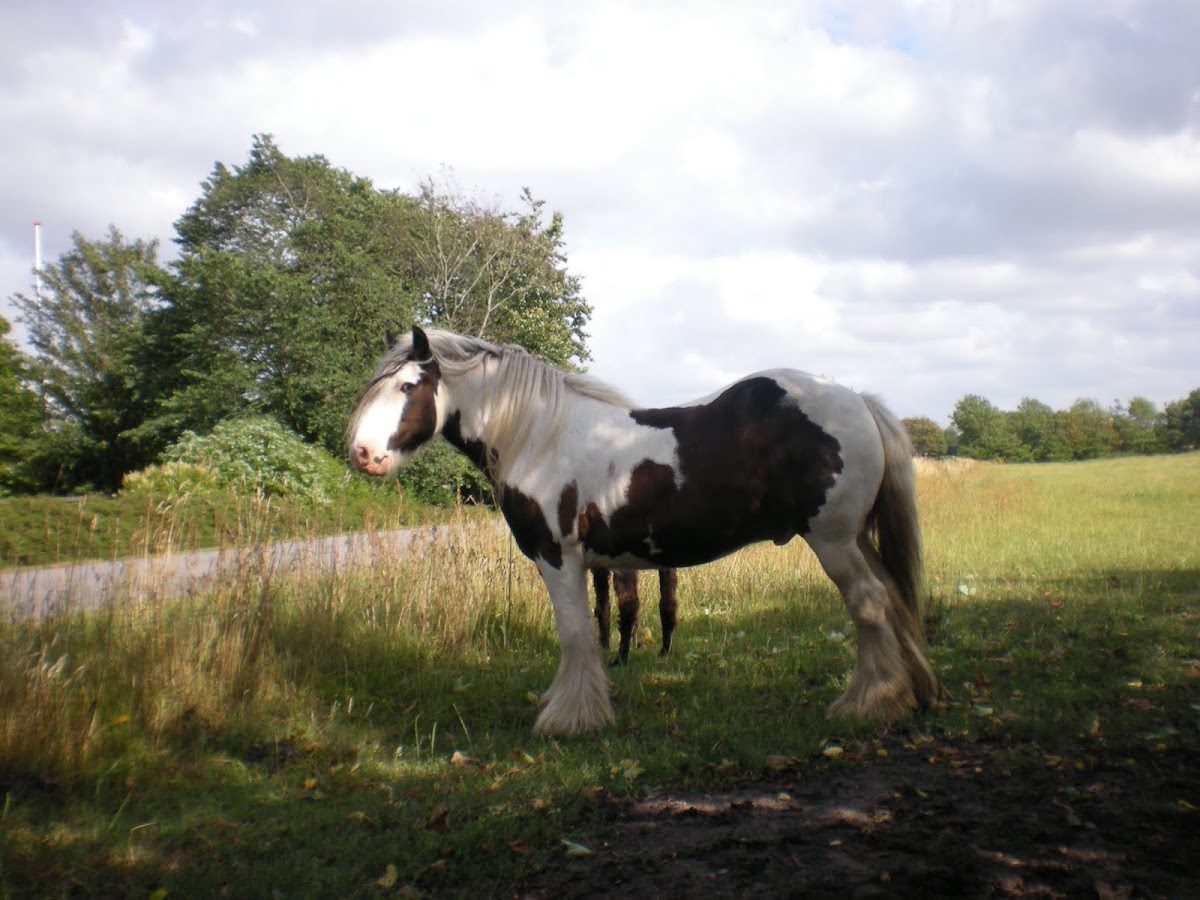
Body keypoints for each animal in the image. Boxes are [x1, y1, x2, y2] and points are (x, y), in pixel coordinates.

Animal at [348, 327, 939, 736]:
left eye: (408, 385)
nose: (362, 454)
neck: (539, 436)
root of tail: (857, 400)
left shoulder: (557, 557)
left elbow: (575, 634)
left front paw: (570, 719)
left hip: (834, 541)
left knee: (869, 604)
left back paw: (867, 703)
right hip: (857, 539)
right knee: (892, 597)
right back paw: (913, 692)